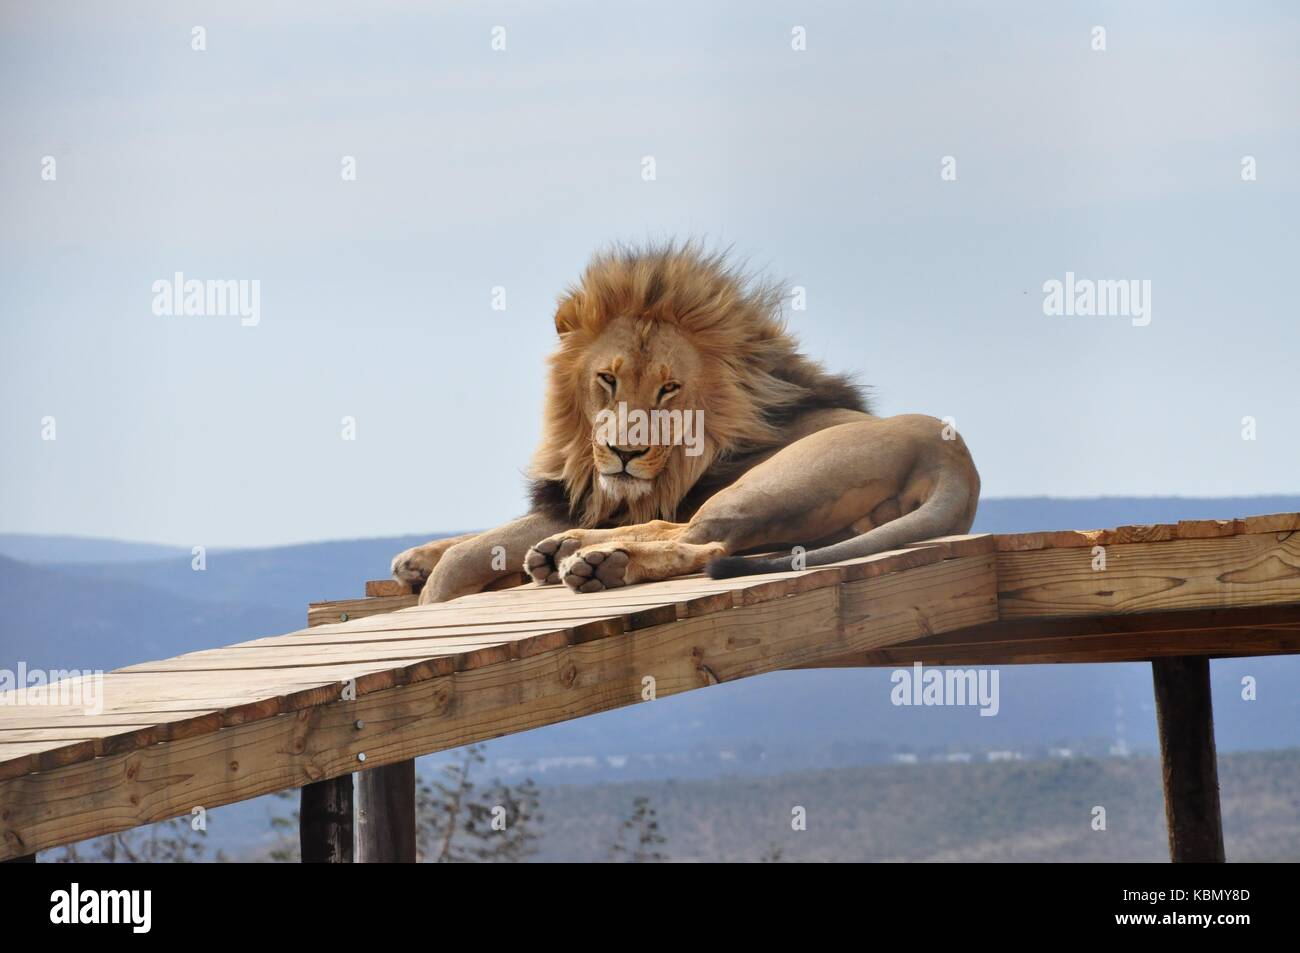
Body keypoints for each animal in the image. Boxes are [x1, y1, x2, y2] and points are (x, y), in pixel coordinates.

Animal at [392, 242, 980, 604]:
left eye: (668, 389)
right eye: (607, 379)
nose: (624, 454)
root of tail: (955, 461)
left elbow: (473, 550)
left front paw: (434, 583)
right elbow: (480, 532)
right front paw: (415, 558)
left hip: (772, 480)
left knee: (700, 539)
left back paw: (594, 560)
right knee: (705, 538)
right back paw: (568, 552)